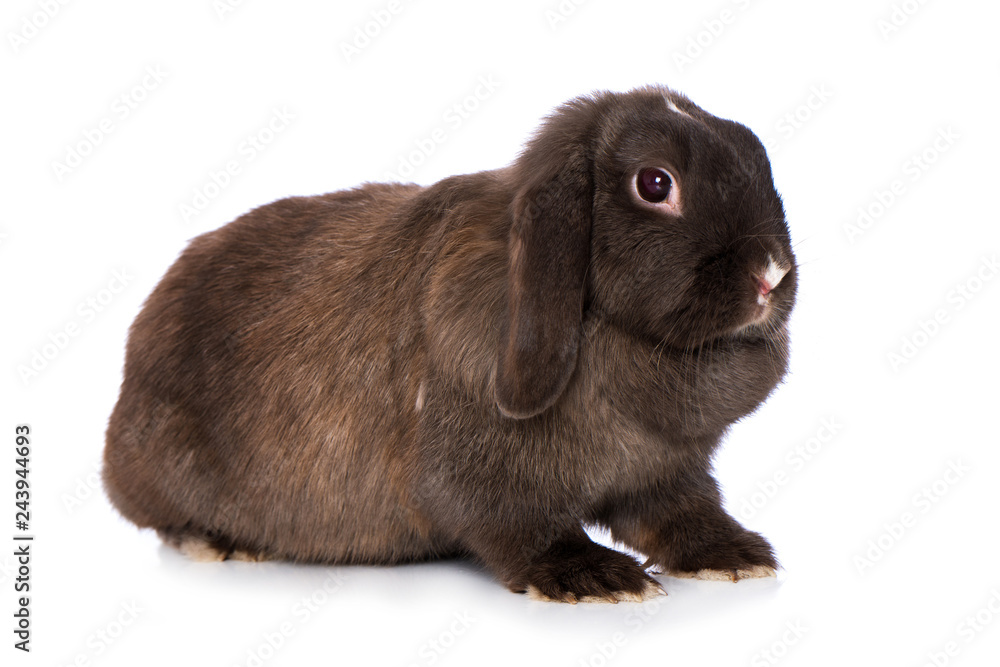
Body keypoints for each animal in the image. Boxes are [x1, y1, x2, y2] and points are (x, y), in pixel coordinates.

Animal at [104, 84, 796, 603]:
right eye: (655, 183)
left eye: (758, 156)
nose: (772, 272)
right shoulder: (485, 472)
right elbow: (519, 526)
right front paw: (596, 579)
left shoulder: (666, 472)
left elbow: (682, 514)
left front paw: (736, 556)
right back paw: (219, 542)